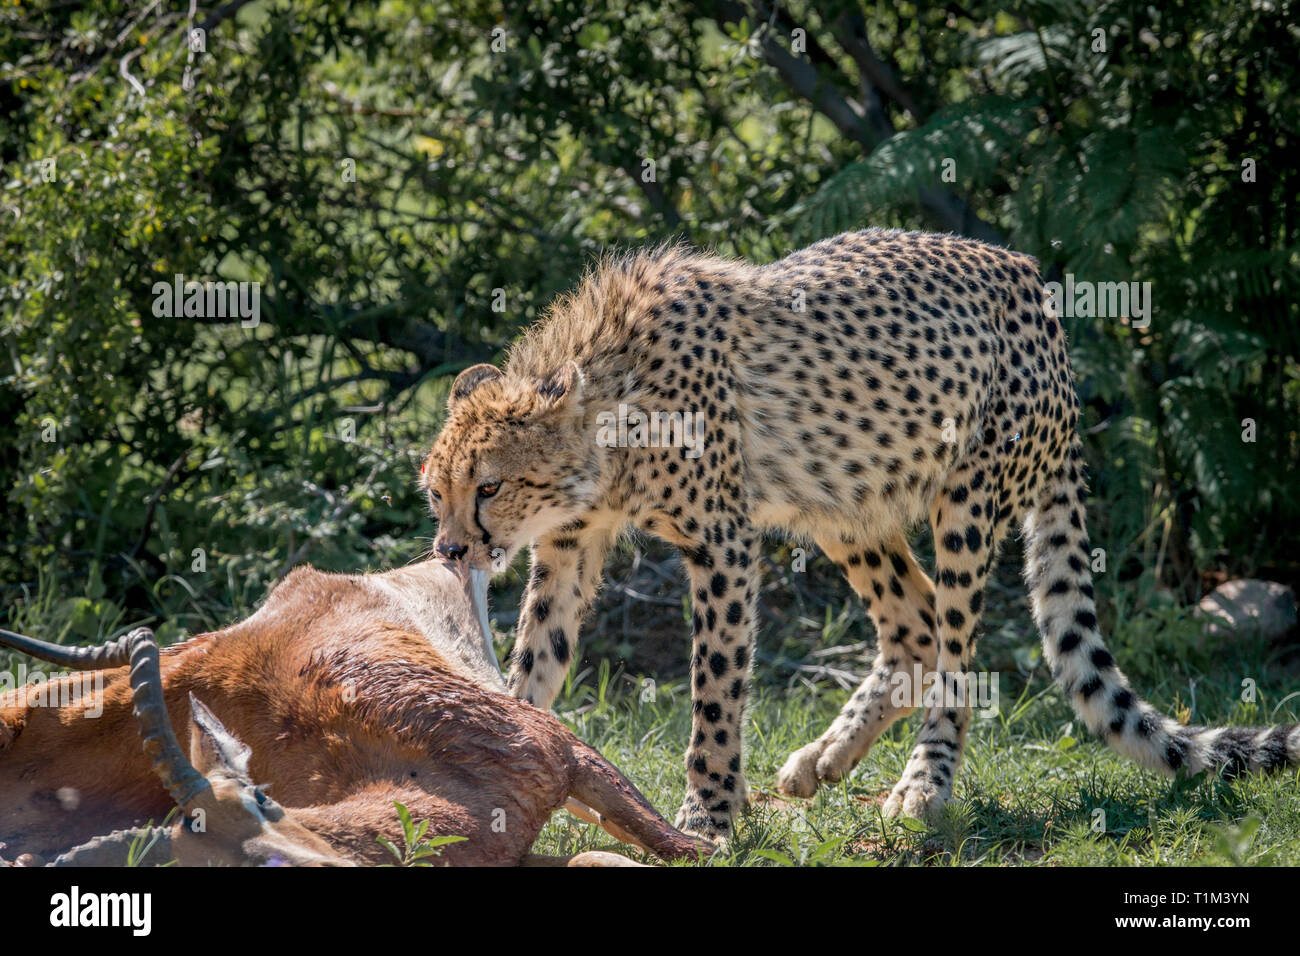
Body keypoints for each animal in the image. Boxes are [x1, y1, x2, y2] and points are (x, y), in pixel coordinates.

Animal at [420, 228, 1300, 843]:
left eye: (489, 486)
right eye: (438, 492)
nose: (452, 551)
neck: (606, 408)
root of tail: (1035, 288)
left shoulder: (721, 543)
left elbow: (715, 691)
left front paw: (708, 815)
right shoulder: (568, 546)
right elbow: (535, 664)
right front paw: (502, 769)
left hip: (964, 500)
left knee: (956, 653)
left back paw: (923, 784)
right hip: (843, 501)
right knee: (913, 622)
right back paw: (824, 759)